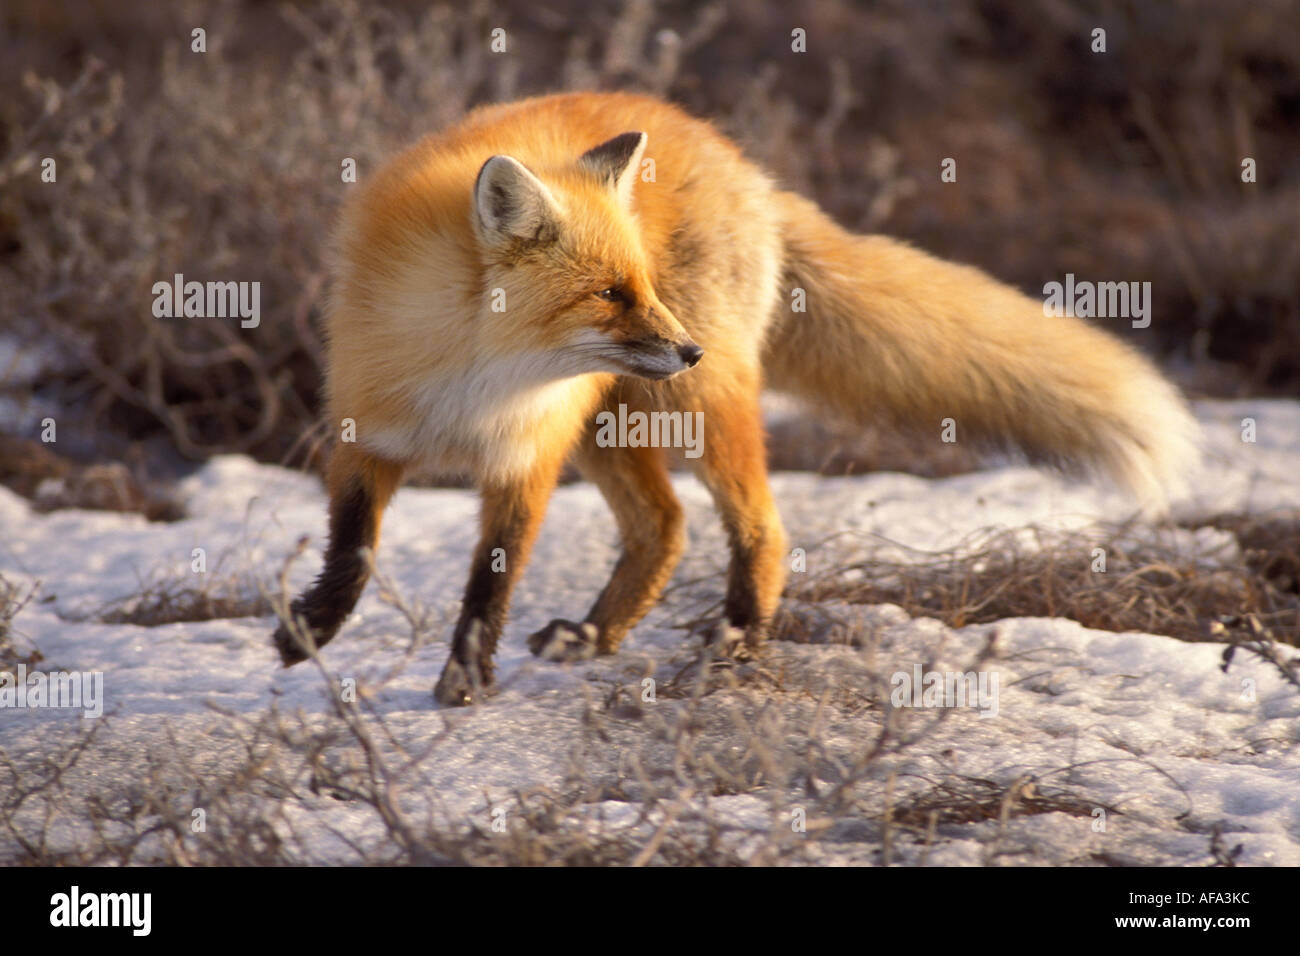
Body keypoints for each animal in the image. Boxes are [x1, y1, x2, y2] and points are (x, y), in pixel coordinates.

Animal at [271, 91, 1200, 706]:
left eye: (640, 284)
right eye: (609, 294)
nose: (689, 346)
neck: (477, 377)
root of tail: (746, 166)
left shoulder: (525, 459)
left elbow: (486, 589)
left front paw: (466, 677)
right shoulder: (365, 435)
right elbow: (353, 551)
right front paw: (311, 627)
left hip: (690, 411)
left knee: (759, 526)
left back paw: (738, 646)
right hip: (616, 419)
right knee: (665, 526)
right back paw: (599, 634)